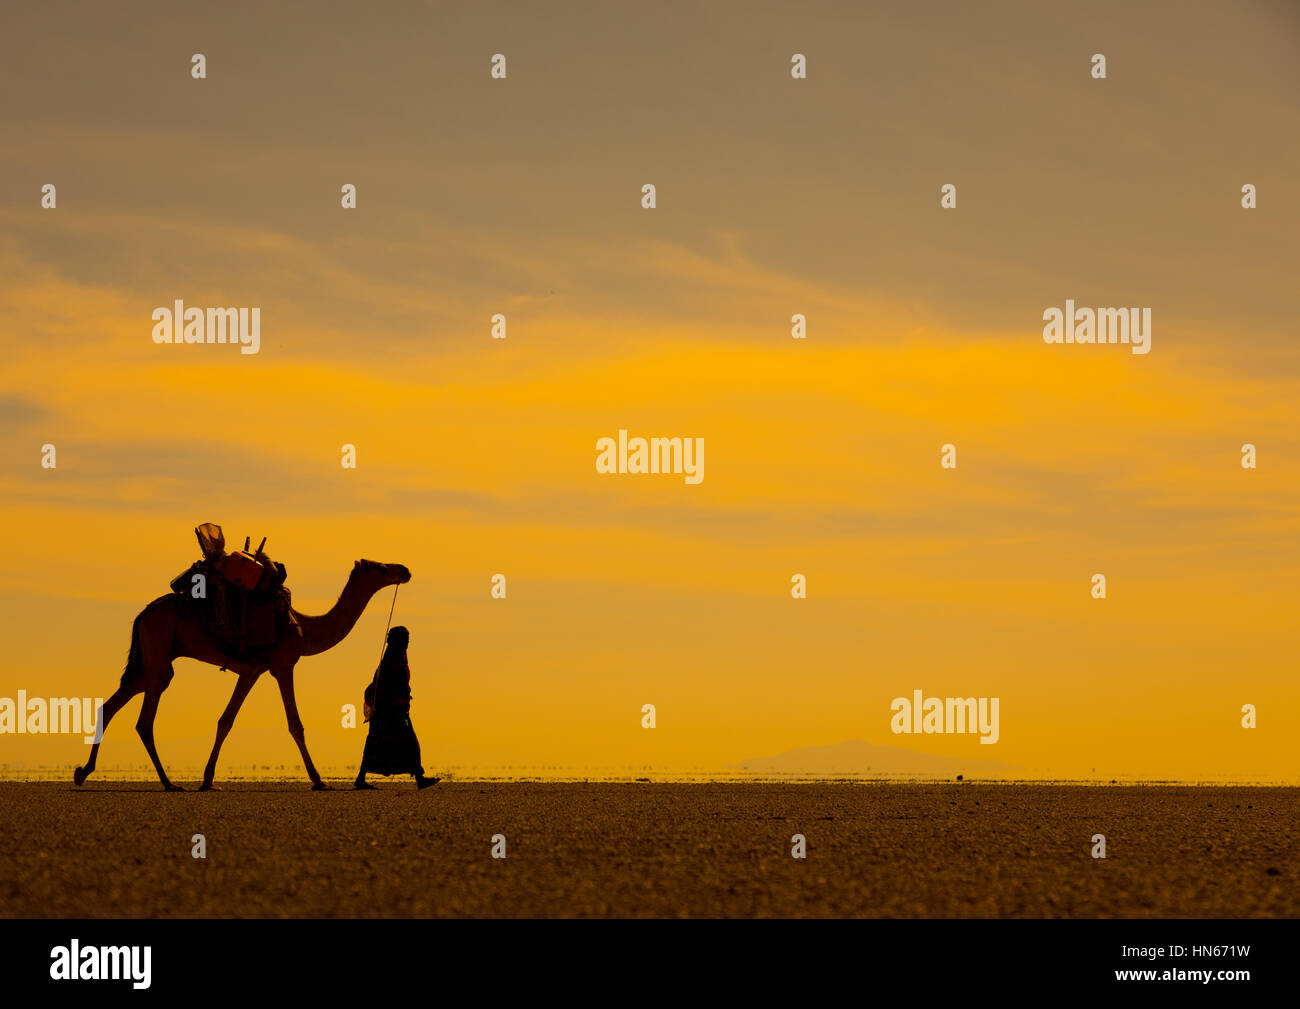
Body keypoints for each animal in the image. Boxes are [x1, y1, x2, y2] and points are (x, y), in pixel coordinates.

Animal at [73, 559, 411, 791]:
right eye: (381, 568)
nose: (405, 570)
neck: (303, 626)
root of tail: (143, 614)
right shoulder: (282, 665)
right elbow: (295, 725)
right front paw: (319, 781)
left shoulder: (251, 671)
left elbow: (225, 721)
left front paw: (208, 780)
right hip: (158, 656)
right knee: (144, 720)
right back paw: (169, 783)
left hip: (149, 660)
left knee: (110, 705)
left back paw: (82, 772)